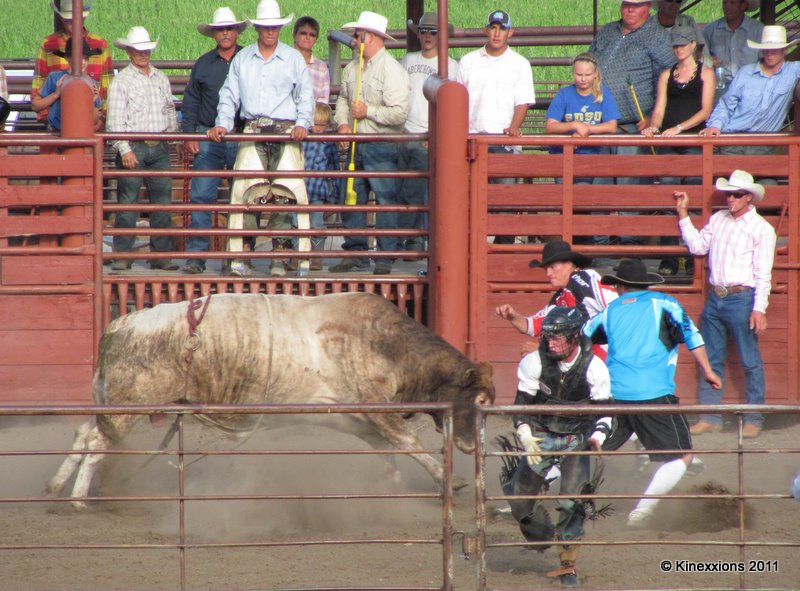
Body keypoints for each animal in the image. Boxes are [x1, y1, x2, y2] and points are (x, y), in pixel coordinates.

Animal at [45, 292, 495, 507]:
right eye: (477, 401)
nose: (471, 446)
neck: (385, 342)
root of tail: (118, 326)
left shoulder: (357, 419)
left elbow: (387, 451)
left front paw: (391, 487)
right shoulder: (376, 405)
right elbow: (408, 442)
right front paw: (449, 478)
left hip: (106, 403)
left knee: (82, 434)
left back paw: (55, 487)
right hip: (127, 407)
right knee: (97, 443)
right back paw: (79, 498)